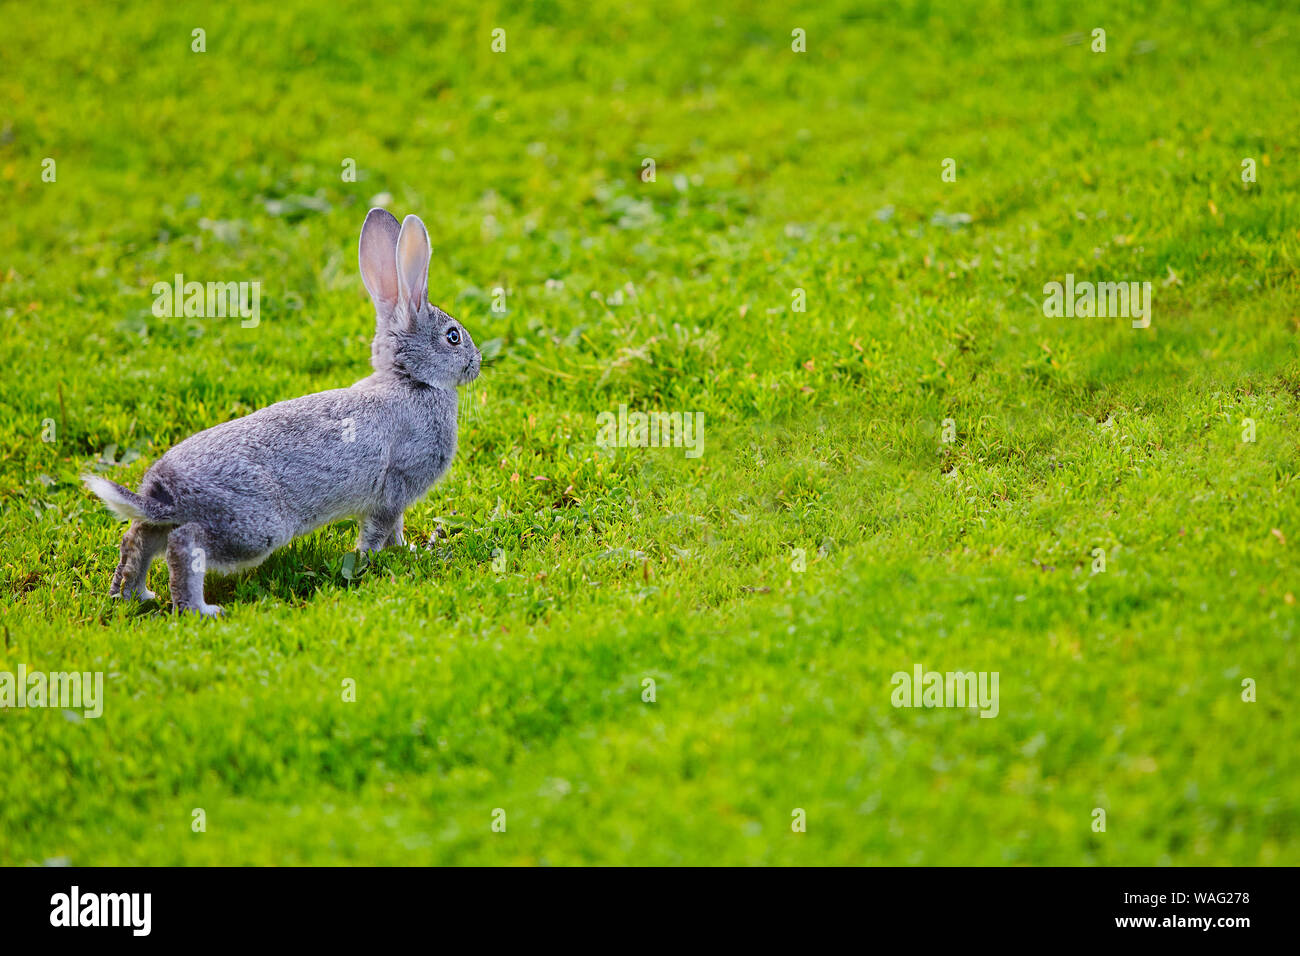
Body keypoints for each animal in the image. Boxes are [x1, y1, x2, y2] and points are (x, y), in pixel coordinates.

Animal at [83, 208, 481, 617]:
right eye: (453, 336)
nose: (477, 363)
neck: (409, 380)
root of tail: (164, 489)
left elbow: (394, 528)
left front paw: (406, 550)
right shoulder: (393, 488)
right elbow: (380, 531)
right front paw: (379, 557)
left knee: (138, 537)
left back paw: (132, 596)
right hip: (254, 526)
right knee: (184, 544)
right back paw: (202, 610)